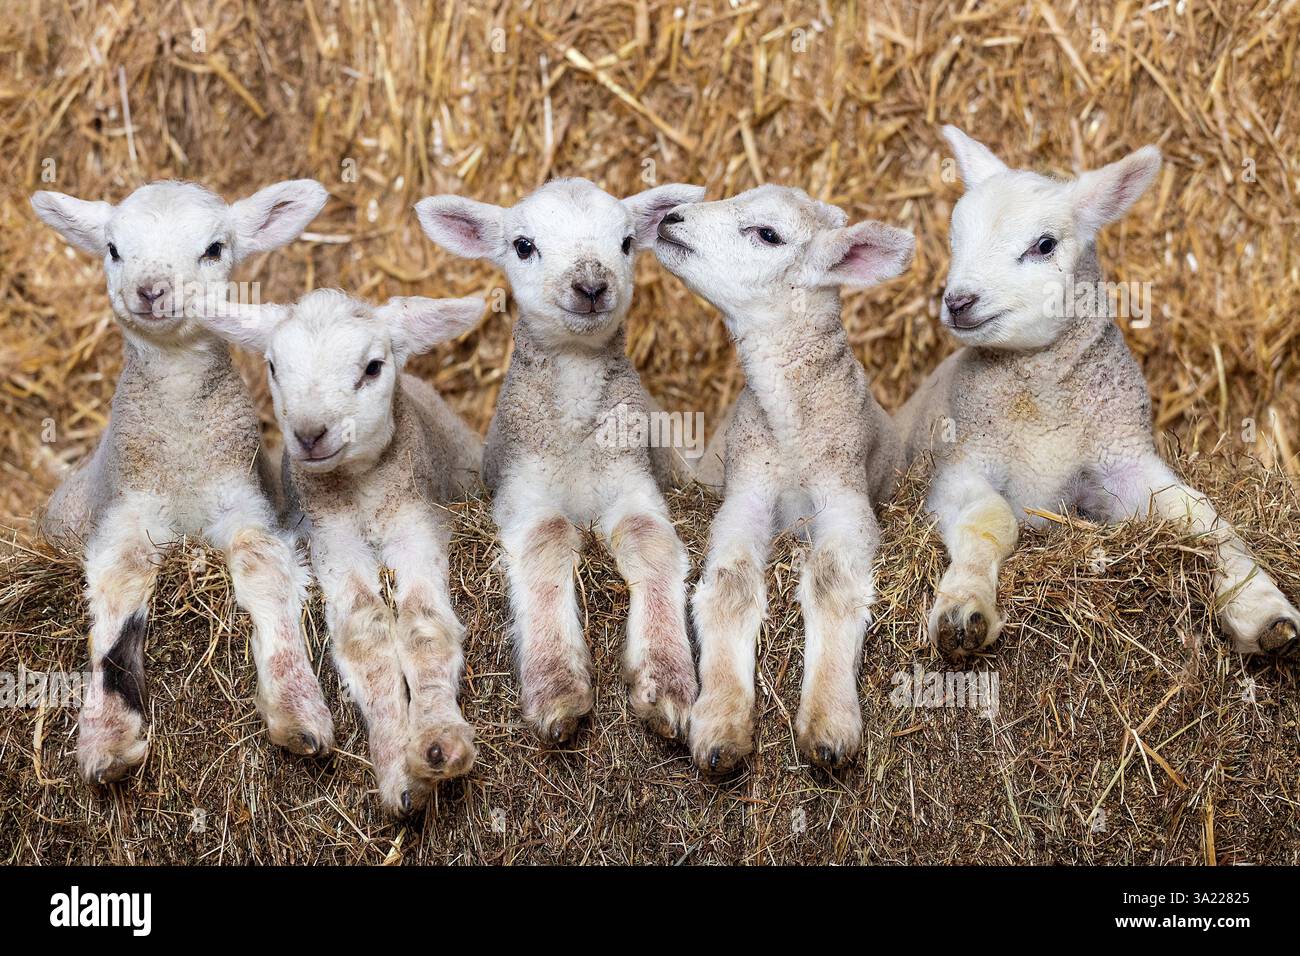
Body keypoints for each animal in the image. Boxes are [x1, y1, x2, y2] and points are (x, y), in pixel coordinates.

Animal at [29, 179, 334, 784]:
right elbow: (122, 583)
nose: (151, 290)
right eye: (113, 249)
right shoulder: (128, 509)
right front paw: (108, 735)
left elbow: (263, 565)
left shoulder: (244, 500)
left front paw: (296, 707)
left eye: (214, 249)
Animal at [200, 288, 486, 816]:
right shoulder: (333, 539)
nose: (310, 434)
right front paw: (398, 770)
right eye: (272, 366)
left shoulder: (415, 523)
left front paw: (437, 741)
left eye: (373, 367)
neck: (361, 489)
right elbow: (365, 632)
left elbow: (424, 625)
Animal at [415, 178, 705, 744]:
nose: (591, 286)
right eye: (523, 245)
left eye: (625, 242)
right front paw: (556, 685)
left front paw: (665, 677)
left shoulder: (633, 478)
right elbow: (546, 537)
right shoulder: (521, 489)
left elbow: (648, 537)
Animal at [652, 185, 915, 771]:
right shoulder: (745, 494)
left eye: (768, 234)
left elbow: (834, 580)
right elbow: (729, 584)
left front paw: (829, 722)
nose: (669, 218)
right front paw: (720, 722)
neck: (792, 432)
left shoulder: (847, 497)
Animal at [897, 126, 1300, 661]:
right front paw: (964, 610)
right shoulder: (959, 469)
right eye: (954, 240)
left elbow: (1203, 518)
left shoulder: (1124, 461)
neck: (1043, 401)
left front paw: (1262, 607)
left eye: (1044, 245)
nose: (958, 302)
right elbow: (990, 519)